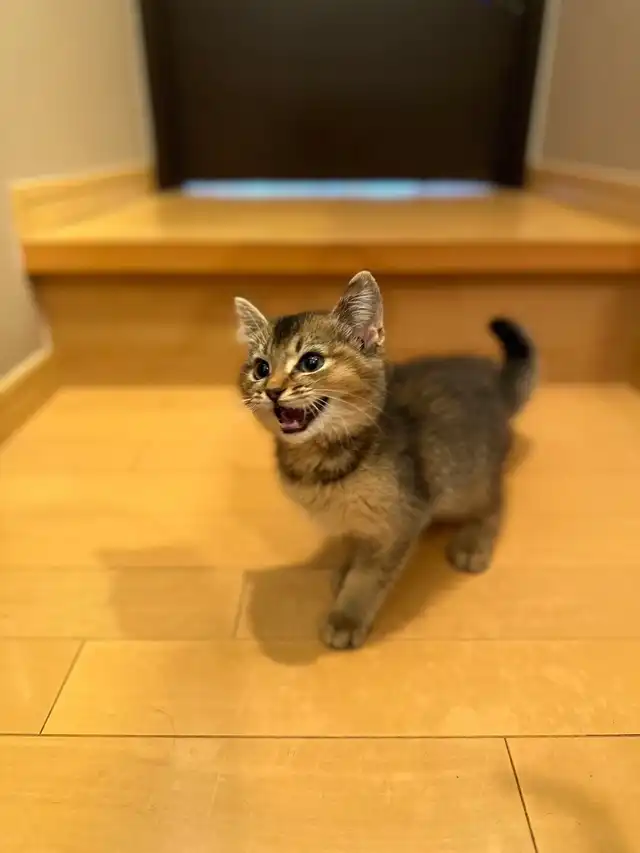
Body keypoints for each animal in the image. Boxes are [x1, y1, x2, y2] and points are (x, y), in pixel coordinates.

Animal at [235, 271, 537, 650]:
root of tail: (497, 385)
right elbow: (353, 546)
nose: (272, 390)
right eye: (261, 369)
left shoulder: (399, 522)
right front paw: (344, 570)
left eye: (311, 362)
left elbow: (368, 578)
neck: (323, 465)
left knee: (496, 498)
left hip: (463, 481)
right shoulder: (352, 522)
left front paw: (346, 617)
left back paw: (474, 542)